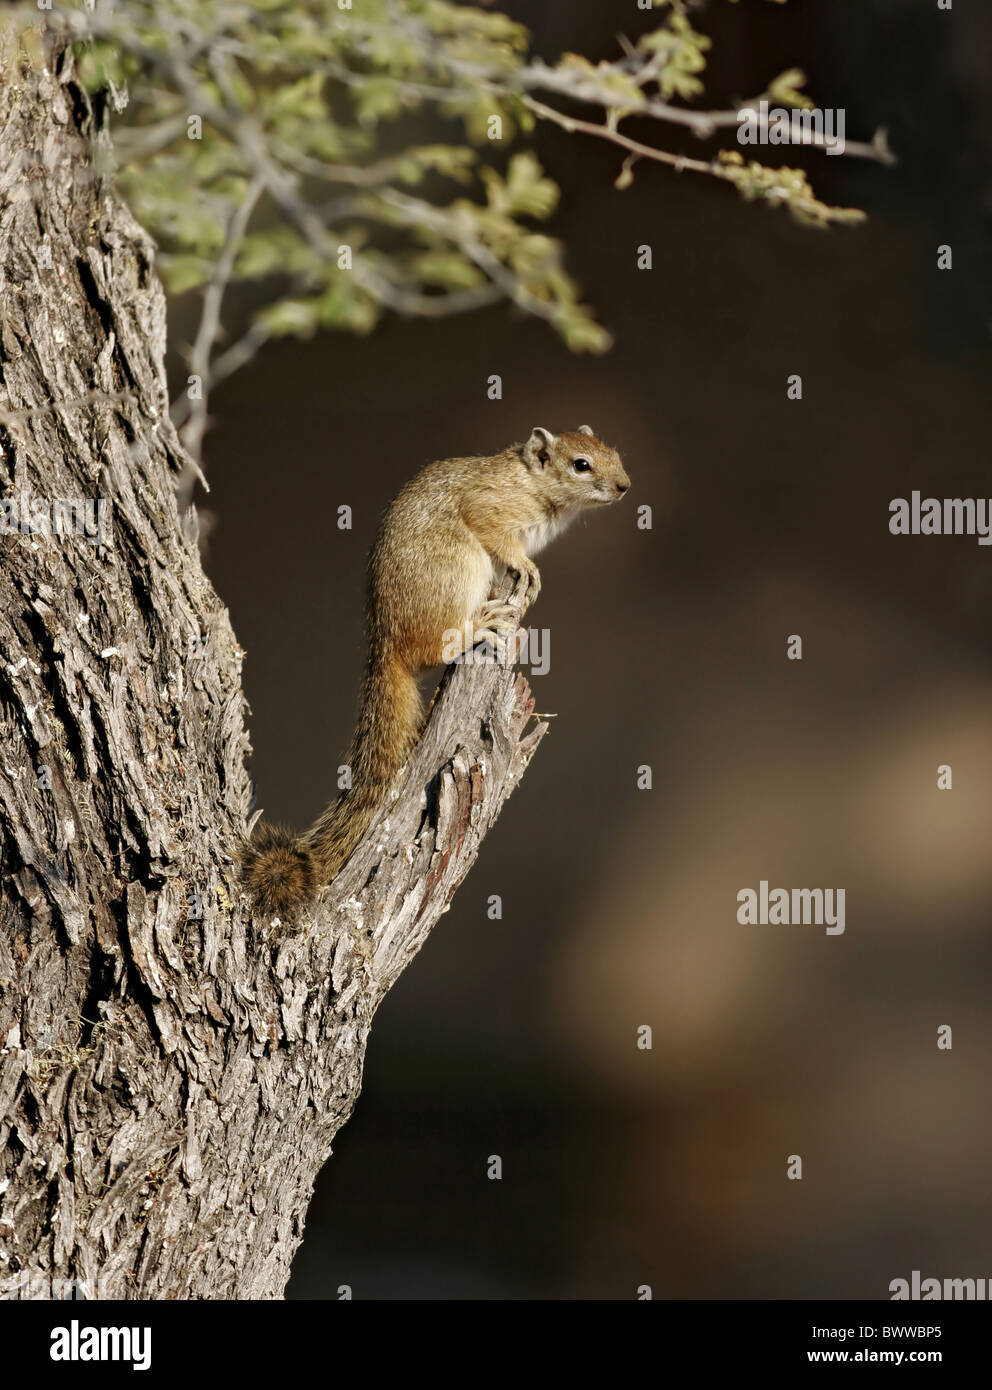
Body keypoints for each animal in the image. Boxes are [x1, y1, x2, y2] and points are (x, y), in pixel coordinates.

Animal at [240, 425, 630, 919]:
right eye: (581, 464)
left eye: (614, 453)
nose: (624, 487)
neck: (530, 481)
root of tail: (385, 641)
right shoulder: (492, 507)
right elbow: (498, 535)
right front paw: (526, 567)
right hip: (458, 568)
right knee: (437, 644)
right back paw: (479, 625)